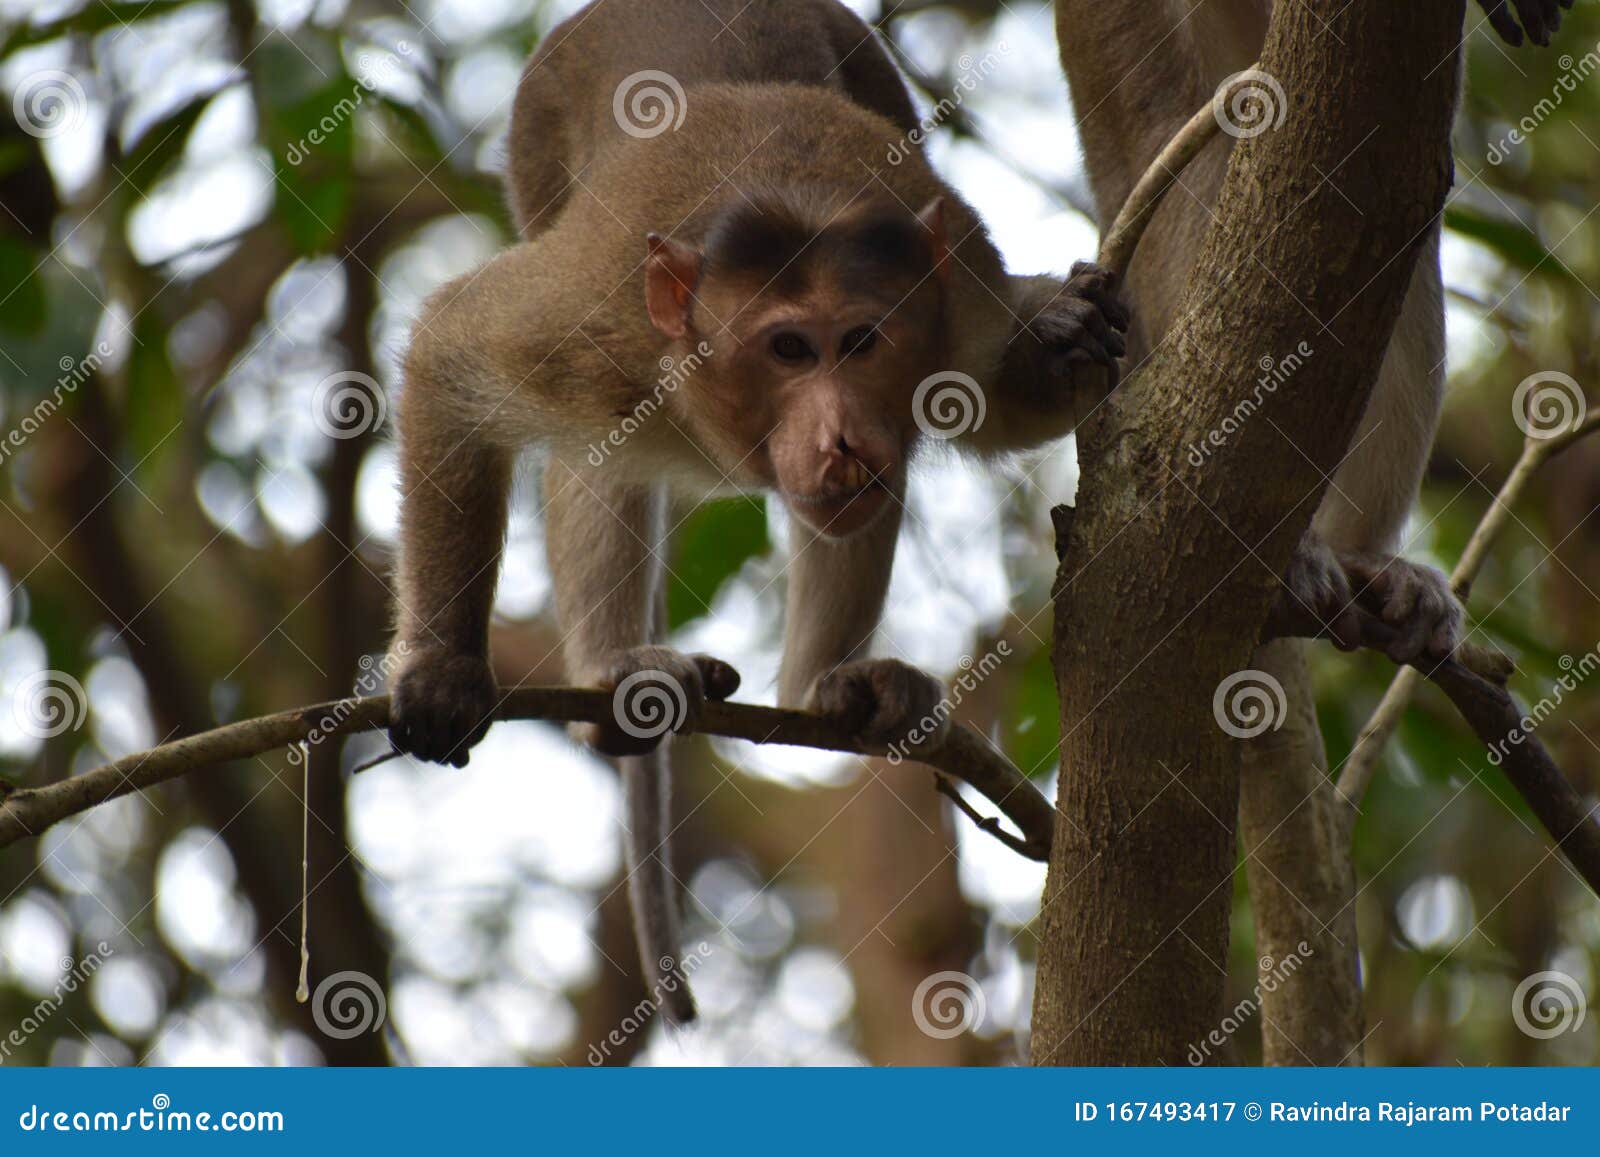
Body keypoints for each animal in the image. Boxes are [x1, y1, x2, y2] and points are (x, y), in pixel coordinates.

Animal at [385, 0, 1128, 1025]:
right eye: (786, 350)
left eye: (861, 342)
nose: (842, 436)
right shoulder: (593, 317)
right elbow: (453, 351)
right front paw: (445, 667)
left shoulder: (960, 304)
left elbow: (1009, 398)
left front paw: (1064, 329)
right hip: (536, 154)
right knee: (597, 459)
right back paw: (619, 667)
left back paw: (827, 685)